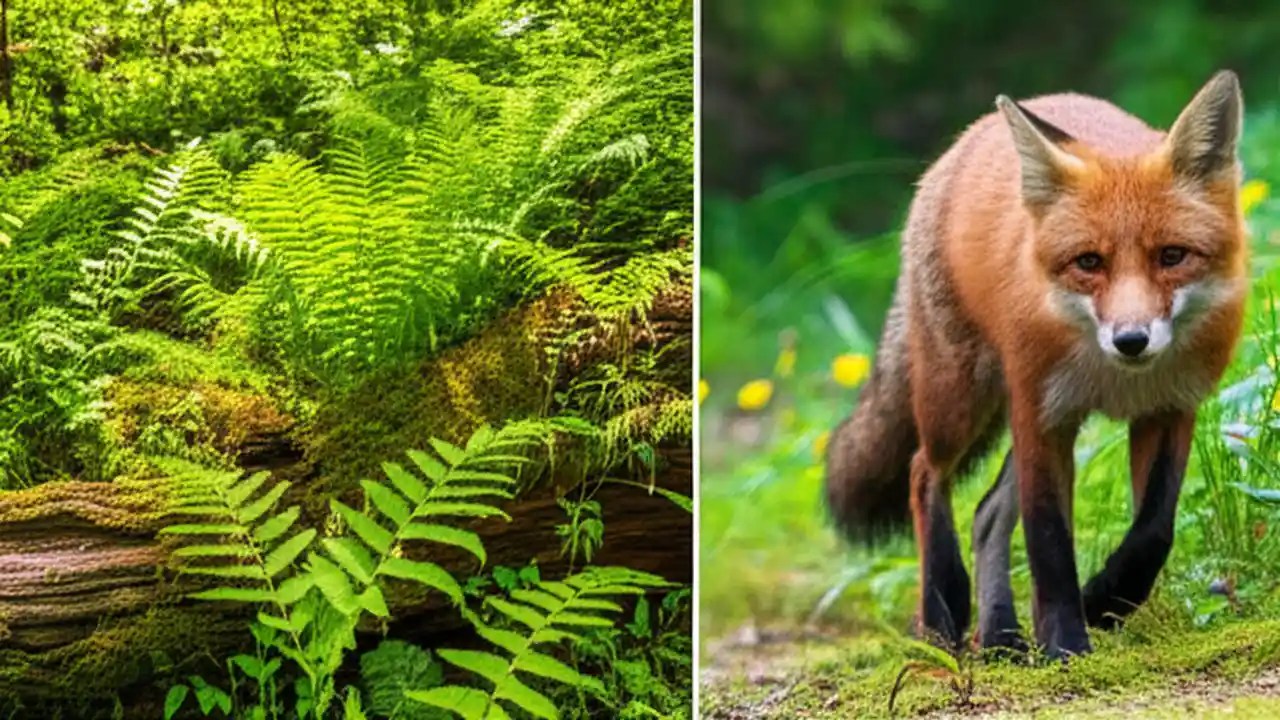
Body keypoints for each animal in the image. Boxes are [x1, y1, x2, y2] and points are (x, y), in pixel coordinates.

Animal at [824, 71, 1248, 660]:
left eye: (1172, 256)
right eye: (1089, 262)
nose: (1131, 341)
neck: (1113, 378)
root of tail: (962, 143)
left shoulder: (1169, 408)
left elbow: (1153, 531)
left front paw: (1106, 600)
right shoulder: (1041, 414)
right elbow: (1048, 540)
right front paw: (1066, 644)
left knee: (985, 513)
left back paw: (1001, 636)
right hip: (959, 402)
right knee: (922, 472)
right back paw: (941, 616)